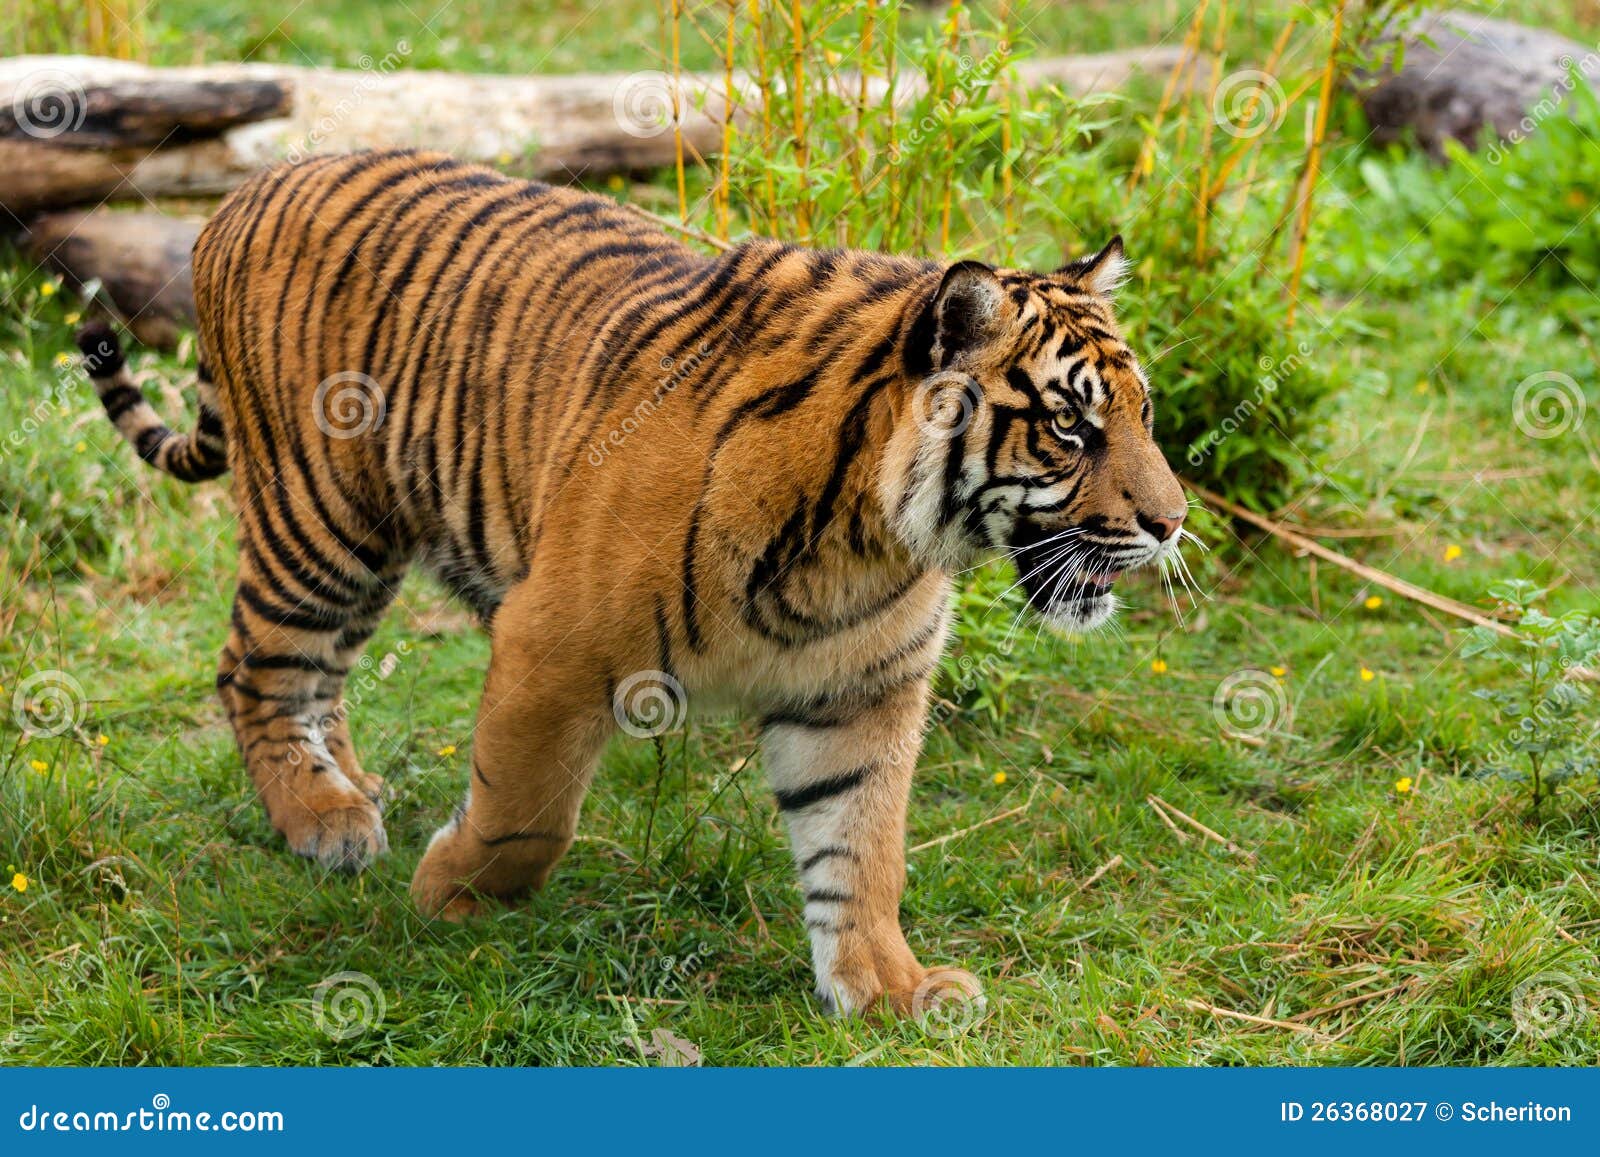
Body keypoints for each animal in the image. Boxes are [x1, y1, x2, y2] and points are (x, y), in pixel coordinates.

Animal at [75, 148, 1188, 1016]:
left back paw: (352, 785)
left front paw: (886, 986)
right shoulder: (551, 640)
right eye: (1069, 425)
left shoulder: (861, 689)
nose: (1171, 522)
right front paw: (449, 891)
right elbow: (529, 811)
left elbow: (861, 845)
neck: (867, 537)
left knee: (319, 675)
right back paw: (323, 818)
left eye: (1140, 411)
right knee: (253, 668)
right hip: (319, 520)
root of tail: (250, 186)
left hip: (373, 539)